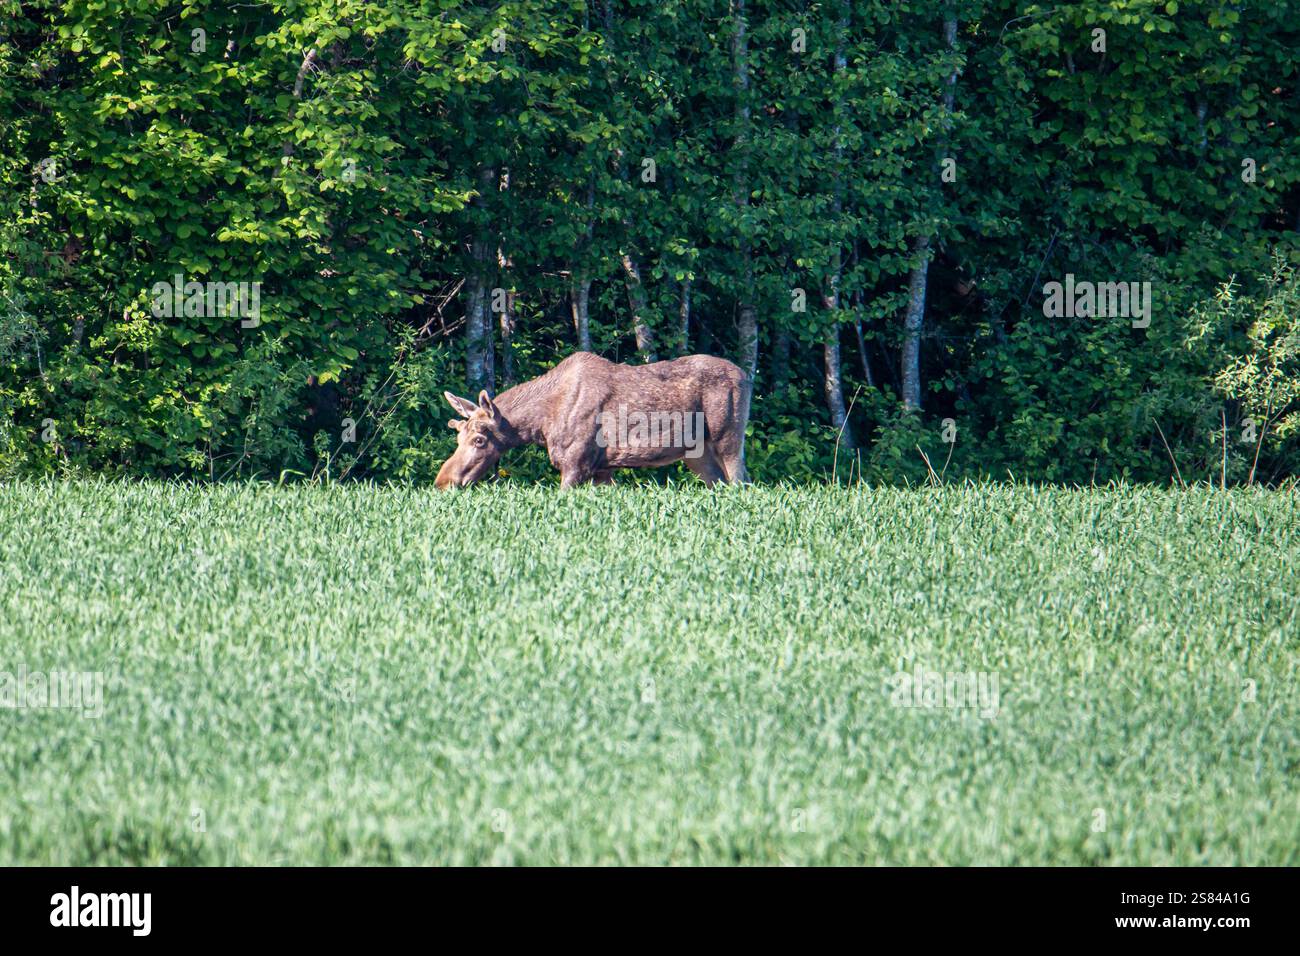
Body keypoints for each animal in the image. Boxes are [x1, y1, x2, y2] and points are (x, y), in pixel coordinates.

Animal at [435, 352, 750, 489]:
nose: (444, 481)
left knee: (741, 482)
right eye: (458, 436)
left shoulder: (577, 463)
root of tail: (747, 375)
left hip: (728, 438)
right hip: (696, 453)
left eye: (479, 439)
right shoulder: (603, 468)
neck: (541, 425)